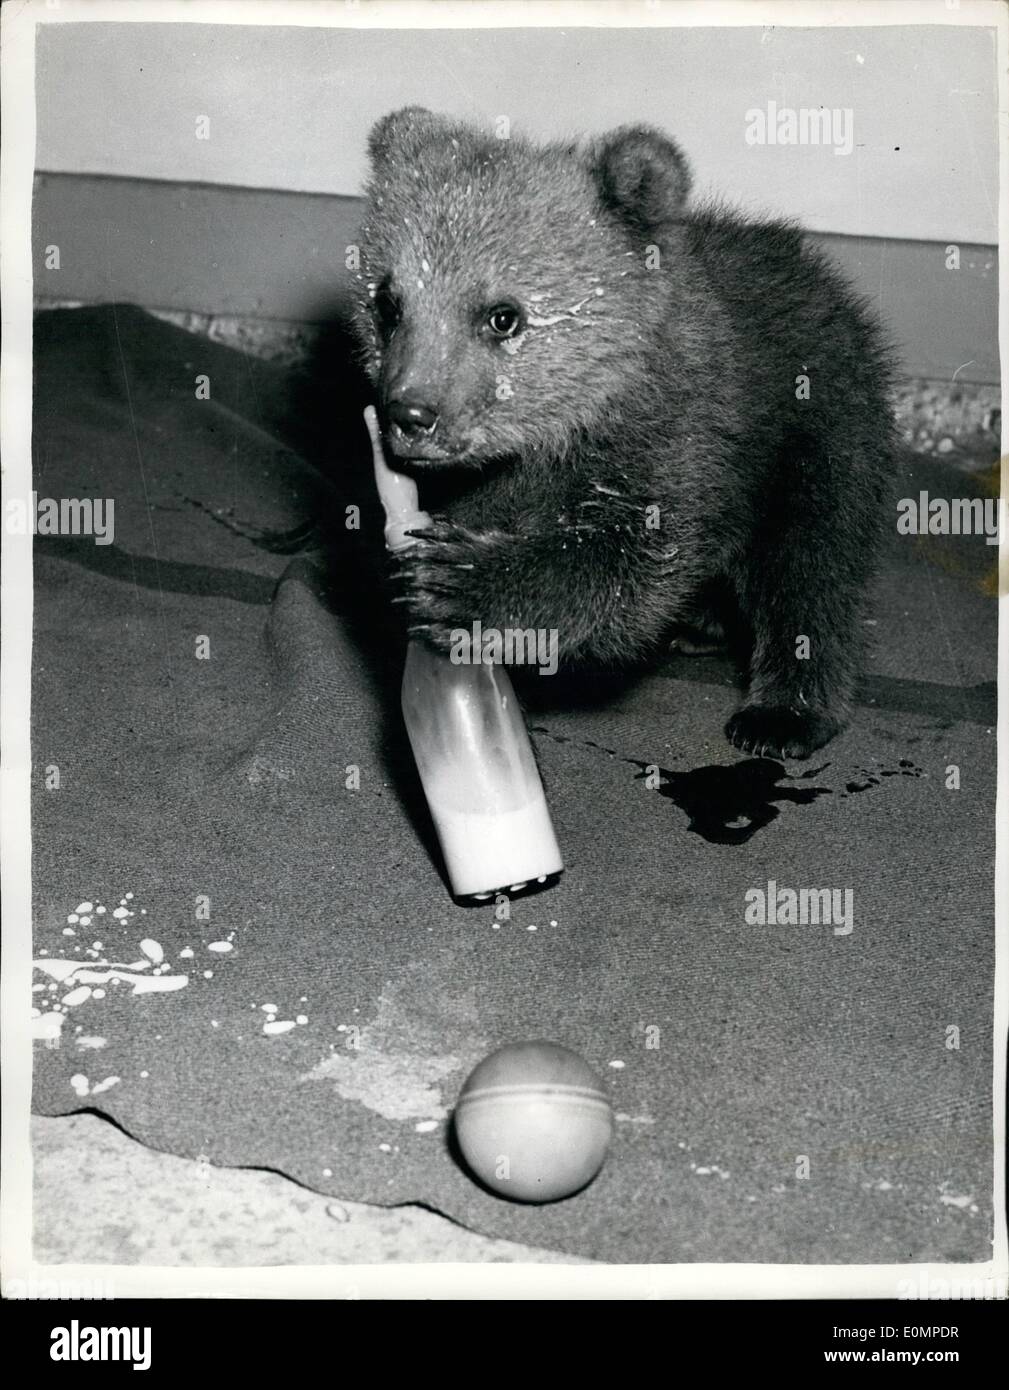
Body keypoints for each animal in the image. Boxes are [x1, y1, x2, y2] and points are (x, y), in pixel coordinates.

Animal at [351, 106, 897, 759]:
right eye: (389, 303)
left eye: (503, 315)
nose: (411, 415)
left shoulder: (681, 440)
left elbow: (630, 566)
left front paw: (456, 582)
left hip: (818, 434)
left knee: (811, 567)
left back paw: (783, 712)